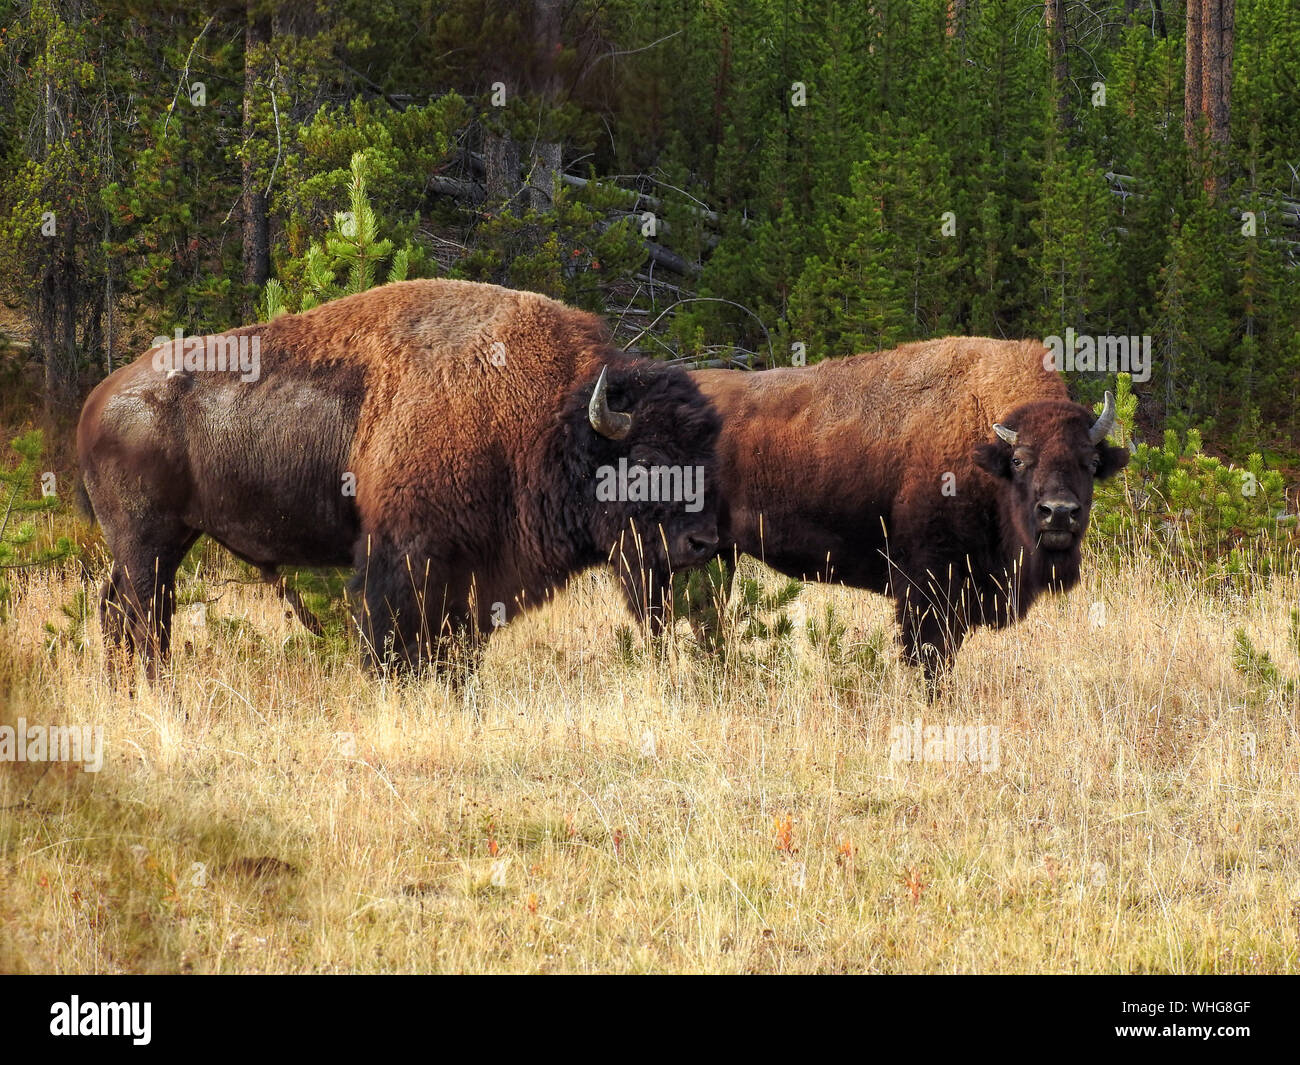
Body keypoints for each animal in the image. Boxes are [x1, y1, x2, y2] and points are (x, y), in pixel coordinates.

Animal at [77, 279, 721, 677]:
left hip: (167, 540)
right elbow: (395, 641)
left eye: (705, 458)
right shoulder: (404, 558)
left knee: (118, 613)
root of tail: (98, 399)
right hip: (147, 541)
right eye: (645, 462)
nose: (703, 541)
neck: (545, 418)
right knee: (143, 618)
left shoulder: (470, 576)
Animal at [683, 337, 1129, 681]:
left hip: (720, 554)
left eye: (1091, 462)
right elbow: (929, 654)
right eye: (1020, 460)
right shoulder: (928, 580)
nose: (1059, 513)